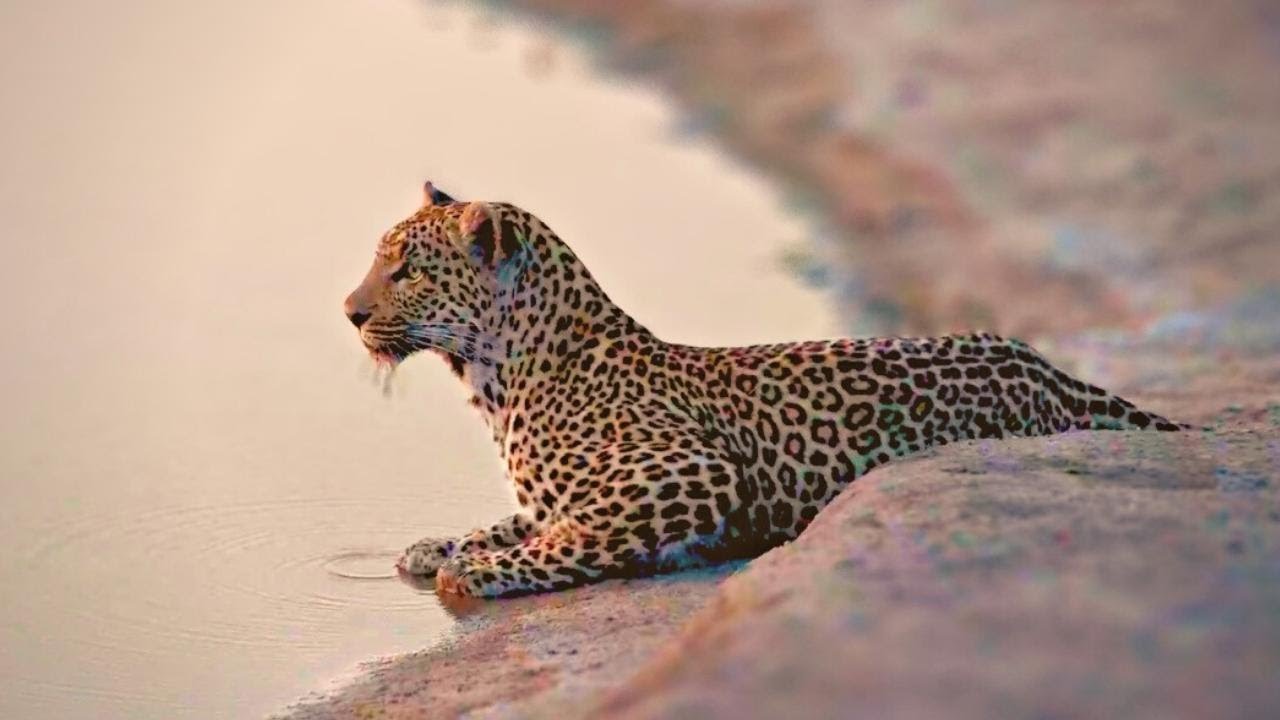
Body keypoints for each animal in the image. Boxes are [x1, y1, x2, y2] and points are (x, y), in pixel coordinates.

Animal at [342, 182, 1189, 598]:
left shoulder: (694, 473)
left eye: (406, 270)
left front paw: (475, 571)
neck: (499, 379)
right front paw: (439, 545)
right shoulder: (556, 496)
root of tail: (1050, 370)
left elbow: (569, 536)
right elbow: (511, 521)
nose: (350, 312)